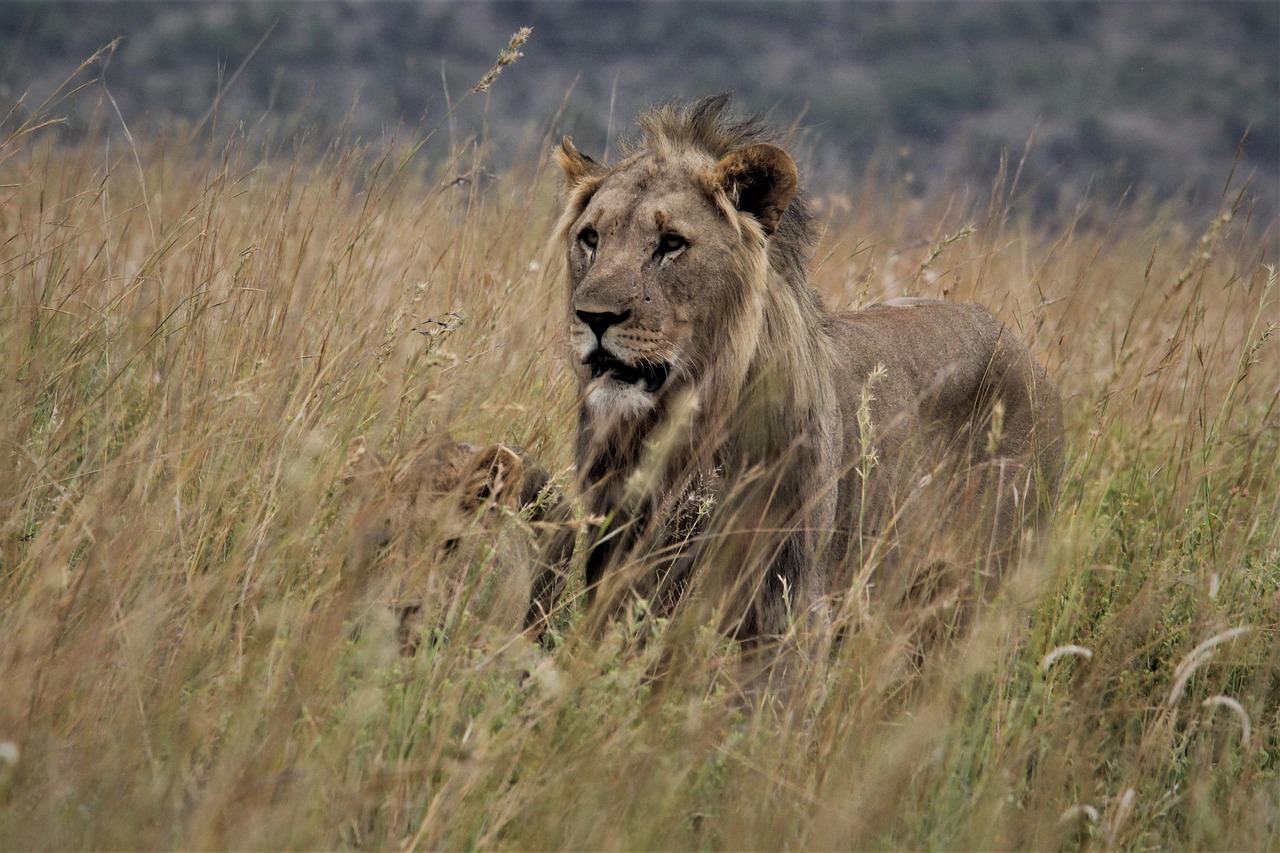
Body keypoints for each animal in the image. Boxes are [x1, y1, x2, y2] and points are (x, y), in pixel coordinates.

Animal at [553, 95, 1064, 648]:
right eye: (590, 238)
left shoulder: (793, 601)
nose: (593, 316)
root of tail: (1023, 349)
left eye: (671, 244)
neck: (687, 429)